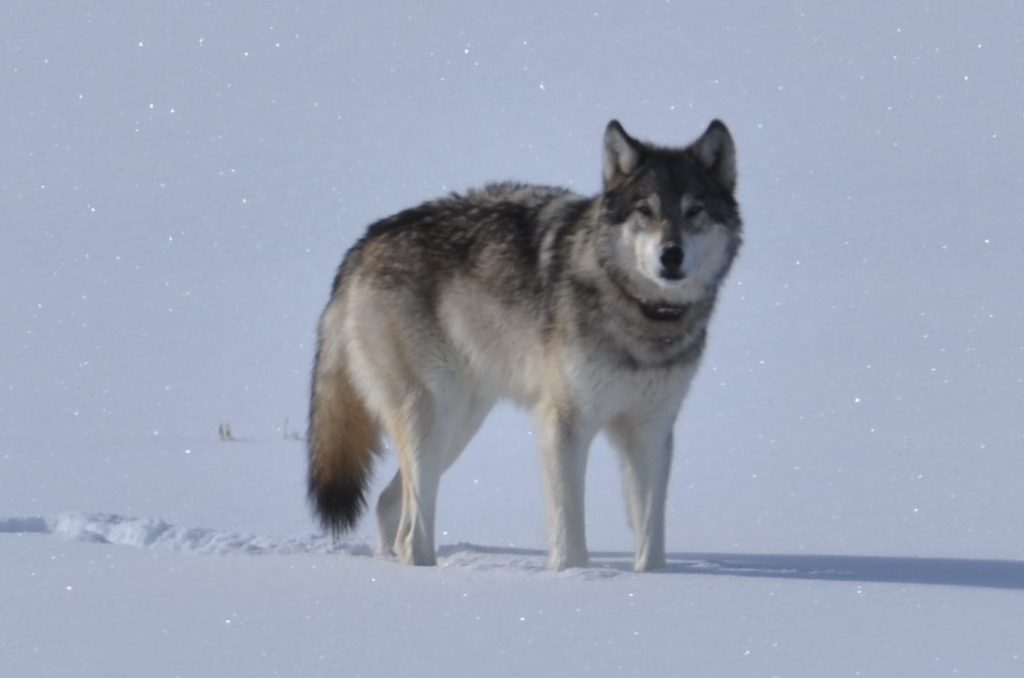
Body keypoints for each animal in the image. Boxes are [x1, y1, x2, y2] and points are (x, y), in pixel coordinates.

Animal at [308, 120, 741, 571]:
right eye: (645, 211)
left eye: (694, 211)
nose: (671, 255)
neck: (641, 317)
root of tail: (364, 242)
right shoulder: (564, 423)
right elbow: (570, 535)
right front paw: (574, 576)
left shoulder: (651, 432)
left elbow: (651, 542)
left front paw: (654, 580)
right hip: (432, 417)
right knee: (412, 532)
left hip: (458, 426)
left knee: (387, 504)